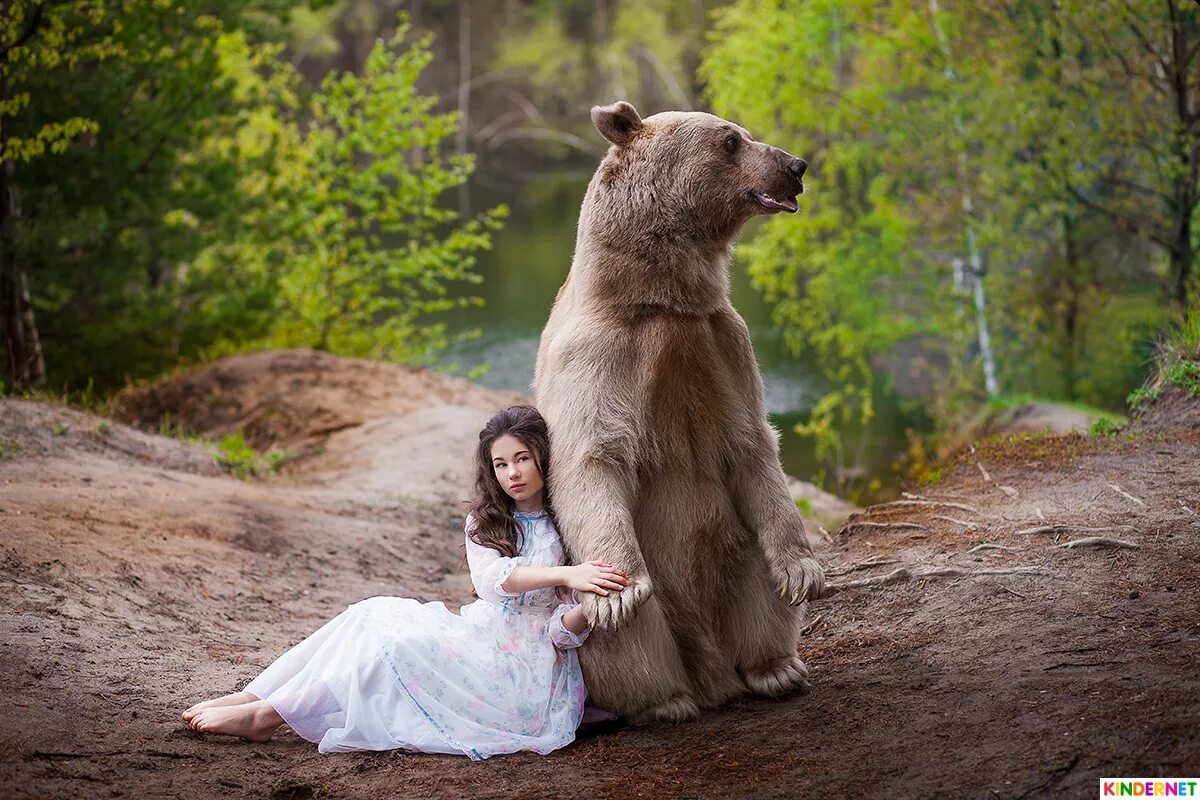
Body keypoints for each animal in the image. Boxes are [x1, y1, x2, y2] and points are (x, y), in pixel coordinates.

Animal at [532, 101, 826, 724]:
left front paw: (804, 571)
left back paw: (775, 668)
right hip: (622, 597)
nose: (795, 165)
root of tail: (710, 673)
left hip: (735, 550)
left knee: (757, 582)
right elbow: (592, 457)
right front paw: (619, 596)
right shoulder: (599, 355)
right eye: (730, 140)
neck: (664, 300)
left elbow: (755, 444)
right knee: (628, 629)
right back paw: (665, 700)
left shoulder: (723, 344)